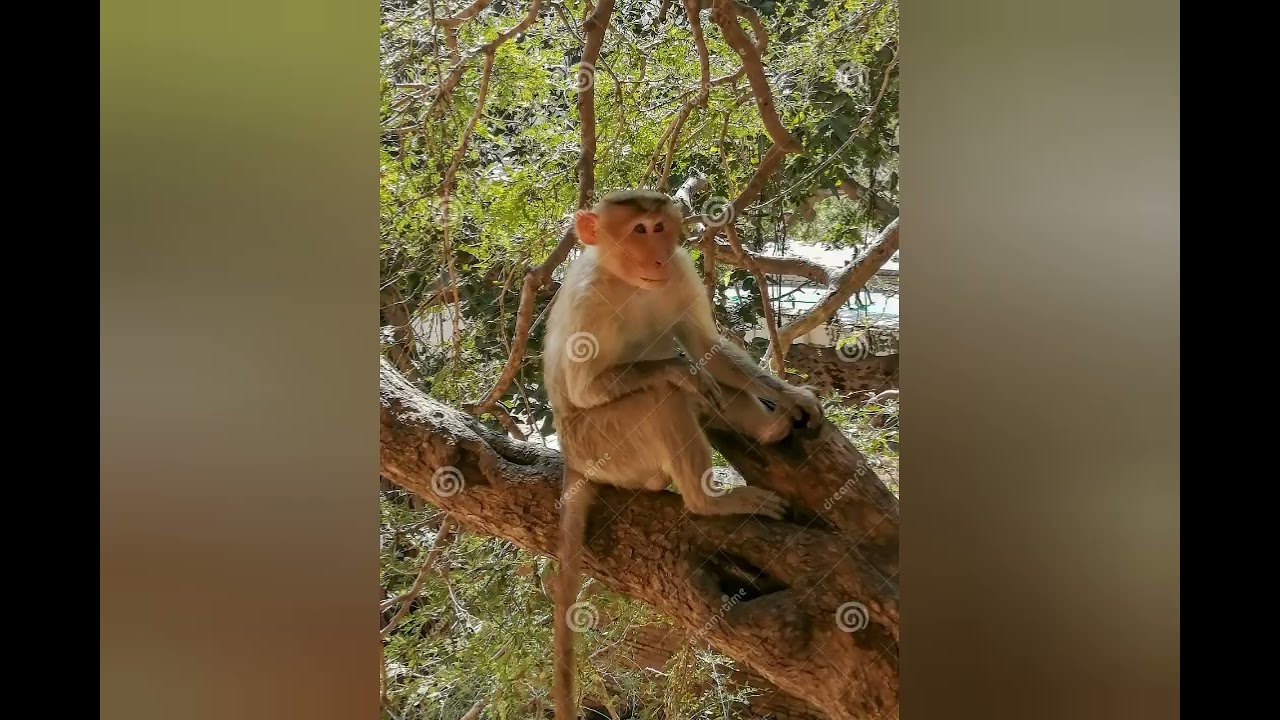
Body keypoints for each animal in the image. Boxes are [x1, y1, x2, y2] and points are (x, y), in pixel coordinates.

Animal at [543, 188, 823, 719]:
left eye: (659, 228)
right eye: (638, 230)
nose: (656, 254)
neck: (627, 280)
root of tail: (571, 459)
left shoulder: (679, 270)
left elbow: (705, 345)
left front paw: (791, 394)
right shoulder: (588, 301)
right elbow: (590, 387)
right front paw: (680, 370)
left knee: (706, 388)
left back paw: (769, 425)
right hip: (600, 445)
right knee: (663, 397)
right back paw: (708, 499)